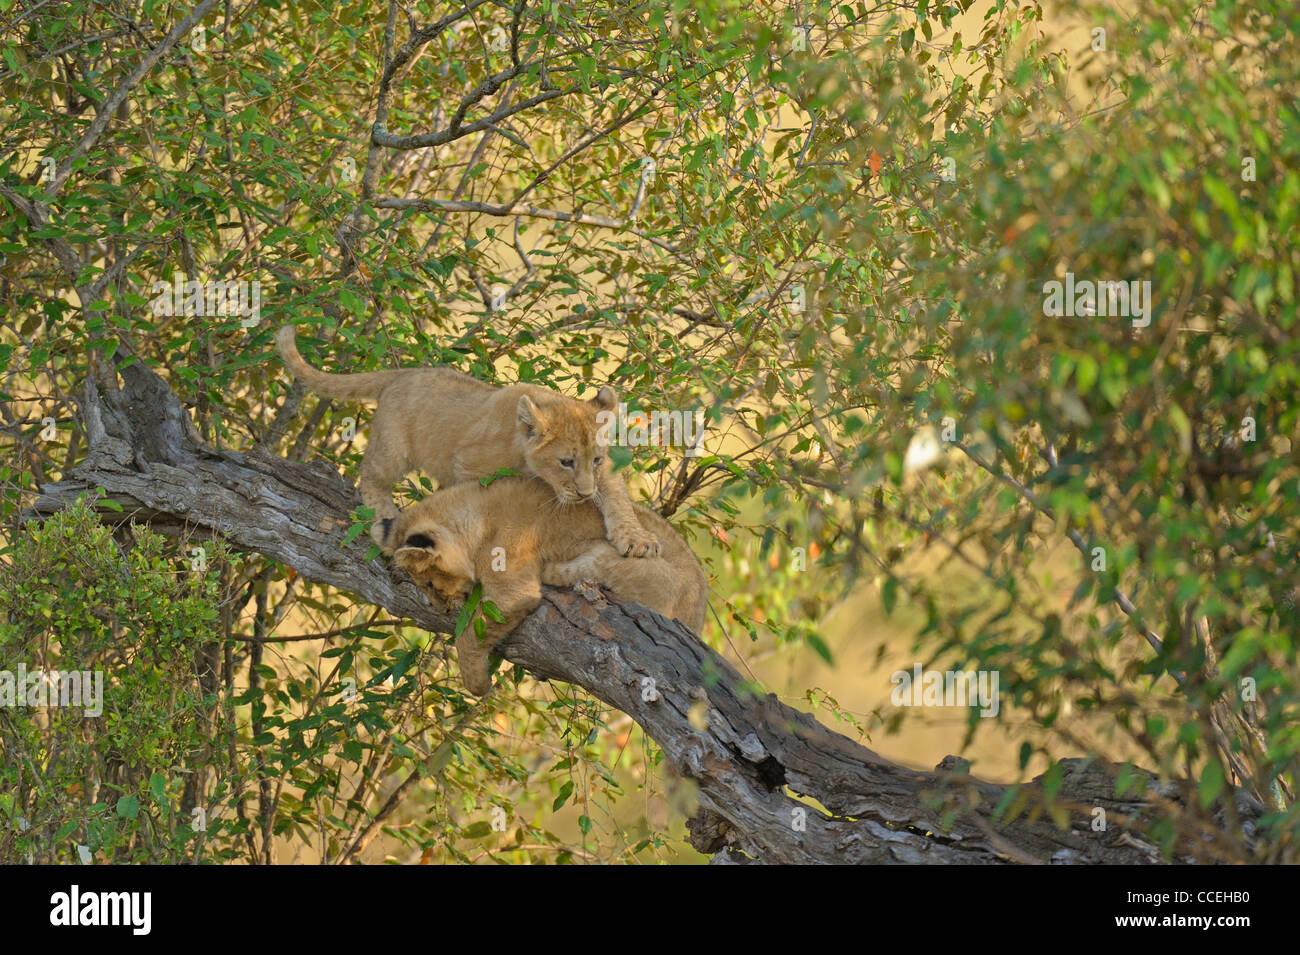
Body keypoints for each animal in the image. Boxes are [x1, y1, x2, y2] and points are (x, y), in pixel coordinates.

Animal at [276, 326, 658, 558]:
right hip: (394, 451)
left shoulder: (603, 473)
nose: (583, 495)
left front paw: (637, 539)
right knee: (371, 474)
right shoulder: (469, 463)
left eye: (595, 460)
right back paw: (384, 512)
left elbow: (617, 498)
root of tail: (405, 372)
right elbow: (476, 503)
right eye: (565, 462)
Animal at [383, 475, 708, 695]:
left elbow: (469, 637)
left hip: (630, 561)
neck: (473, 517)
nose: (441, 609)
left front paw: (476, 684)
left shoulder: (514, 590)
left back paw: (552, 570)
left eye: (429, 583)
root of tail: (698, 615)